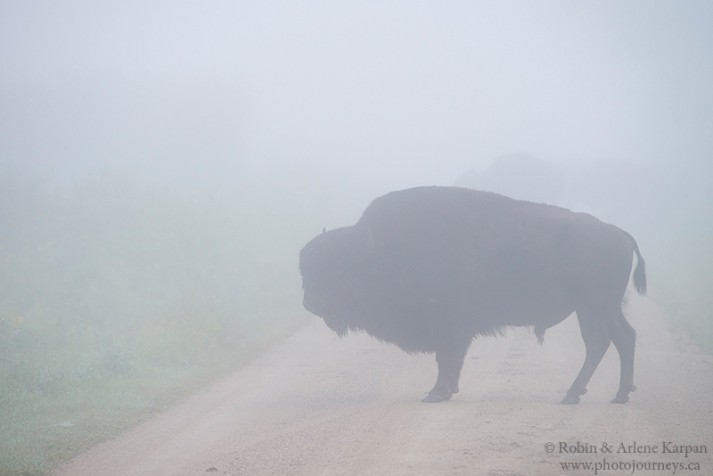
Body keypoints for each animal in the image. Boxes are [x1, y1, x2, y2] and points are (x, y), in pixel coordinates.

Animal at [299, 186, 646, 404]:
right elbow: (453, 360)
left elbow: (446, 358)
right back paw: (620, 394)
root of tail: (618, 232)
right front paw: (448, 390)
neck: (377, 249)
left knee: (599, 343)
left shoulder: (447, 326)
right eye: (307, 269)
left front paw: (436, 393)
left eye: (338, 267)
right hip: (605, 308)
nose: (310, 302)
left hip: (591, 308)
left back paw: (573, 395)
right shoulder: (455, 330)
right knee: (624, 337)